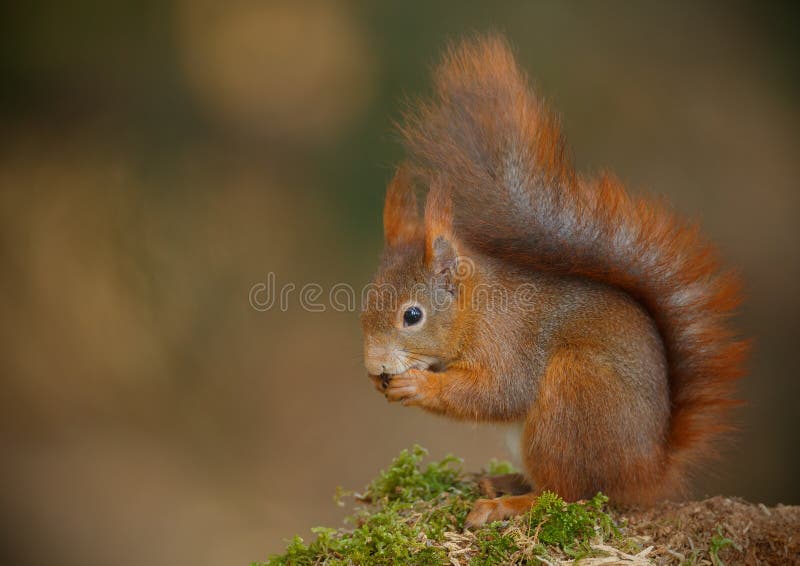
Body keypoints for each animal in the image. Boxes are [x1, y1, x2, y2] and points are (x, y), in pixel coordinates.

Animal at [360, 35, 747, 528]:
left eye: (413, 315)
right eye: (366, 301)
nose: (374, 365)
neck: (476, 308)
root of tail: (646, 471)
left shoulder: (508, 342)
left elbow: (500, 391)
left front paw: (419, 385)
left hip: (572, 397)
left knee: (567, 492)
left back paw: (508, 504)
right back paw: (503, 482)